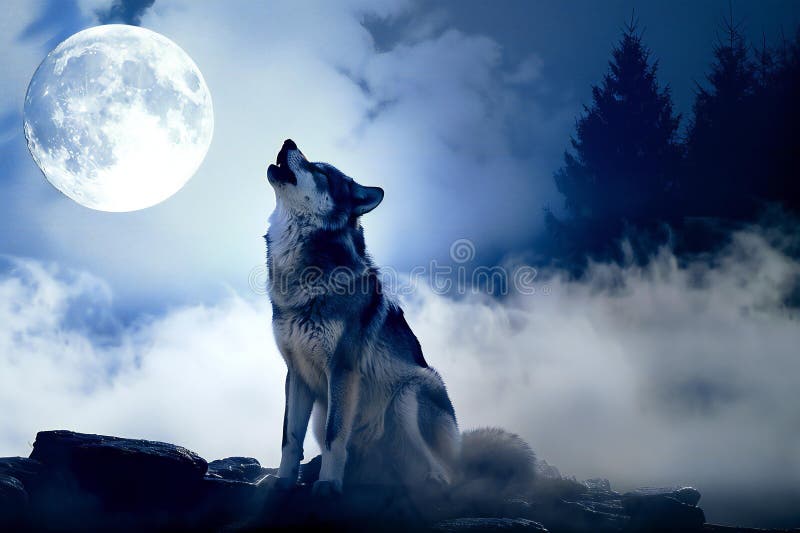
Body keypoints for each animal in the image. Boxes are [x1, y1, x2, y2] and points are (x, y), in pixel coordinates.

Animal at [264, 139, 534, 497]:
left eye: (318, 170)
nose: (288, 142)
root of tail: (461, 451)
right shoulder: (296, 375)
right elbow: (289, 439)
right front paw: (282, 481)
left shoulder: (342, 368)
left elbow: (336, 437)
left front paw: (328, 485)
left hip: (411, 393)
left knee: (447, 473)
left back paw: (430, 481)